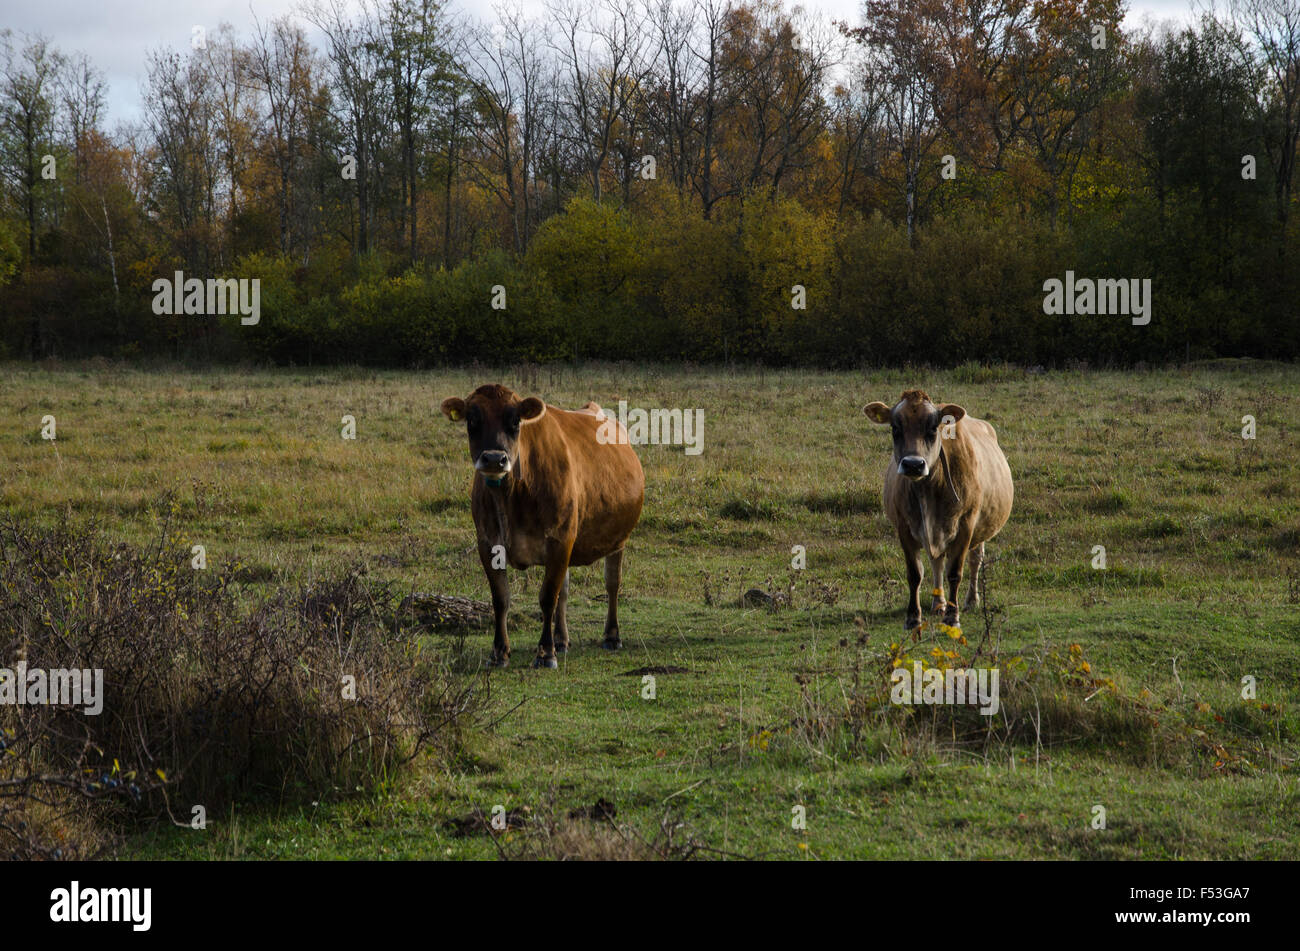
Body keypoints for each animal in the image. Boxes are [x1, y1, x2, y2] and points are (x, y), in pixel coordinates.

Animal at [440, 384, 644, 668]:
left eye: (515, 421)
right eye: (472, 420)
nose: (494, 458)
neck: (511, 497)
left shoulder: (560, 539)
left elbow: (548, 597)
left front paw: (546, 653)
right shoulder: (487, 543)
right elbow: (501, 598)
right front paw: (499, 652)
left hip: (617, 539)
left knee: (612, 583)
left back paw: (611, 636)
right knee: (565, 591)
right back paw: (561, 639)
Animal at [863, 390, 1013, 633]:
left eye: (933, 428)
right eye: (895, 428)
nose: (913, 464)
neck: (930, 489)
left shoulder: (966, 524)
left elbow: (955, 572)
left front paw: (953, 616)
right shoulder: (904, 527)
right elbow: (915, 573)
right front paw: (913, 618)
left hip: (980, 528)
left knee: (975, 560)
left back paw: (971, 600)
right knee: (937, 563)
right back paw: (938, 603)